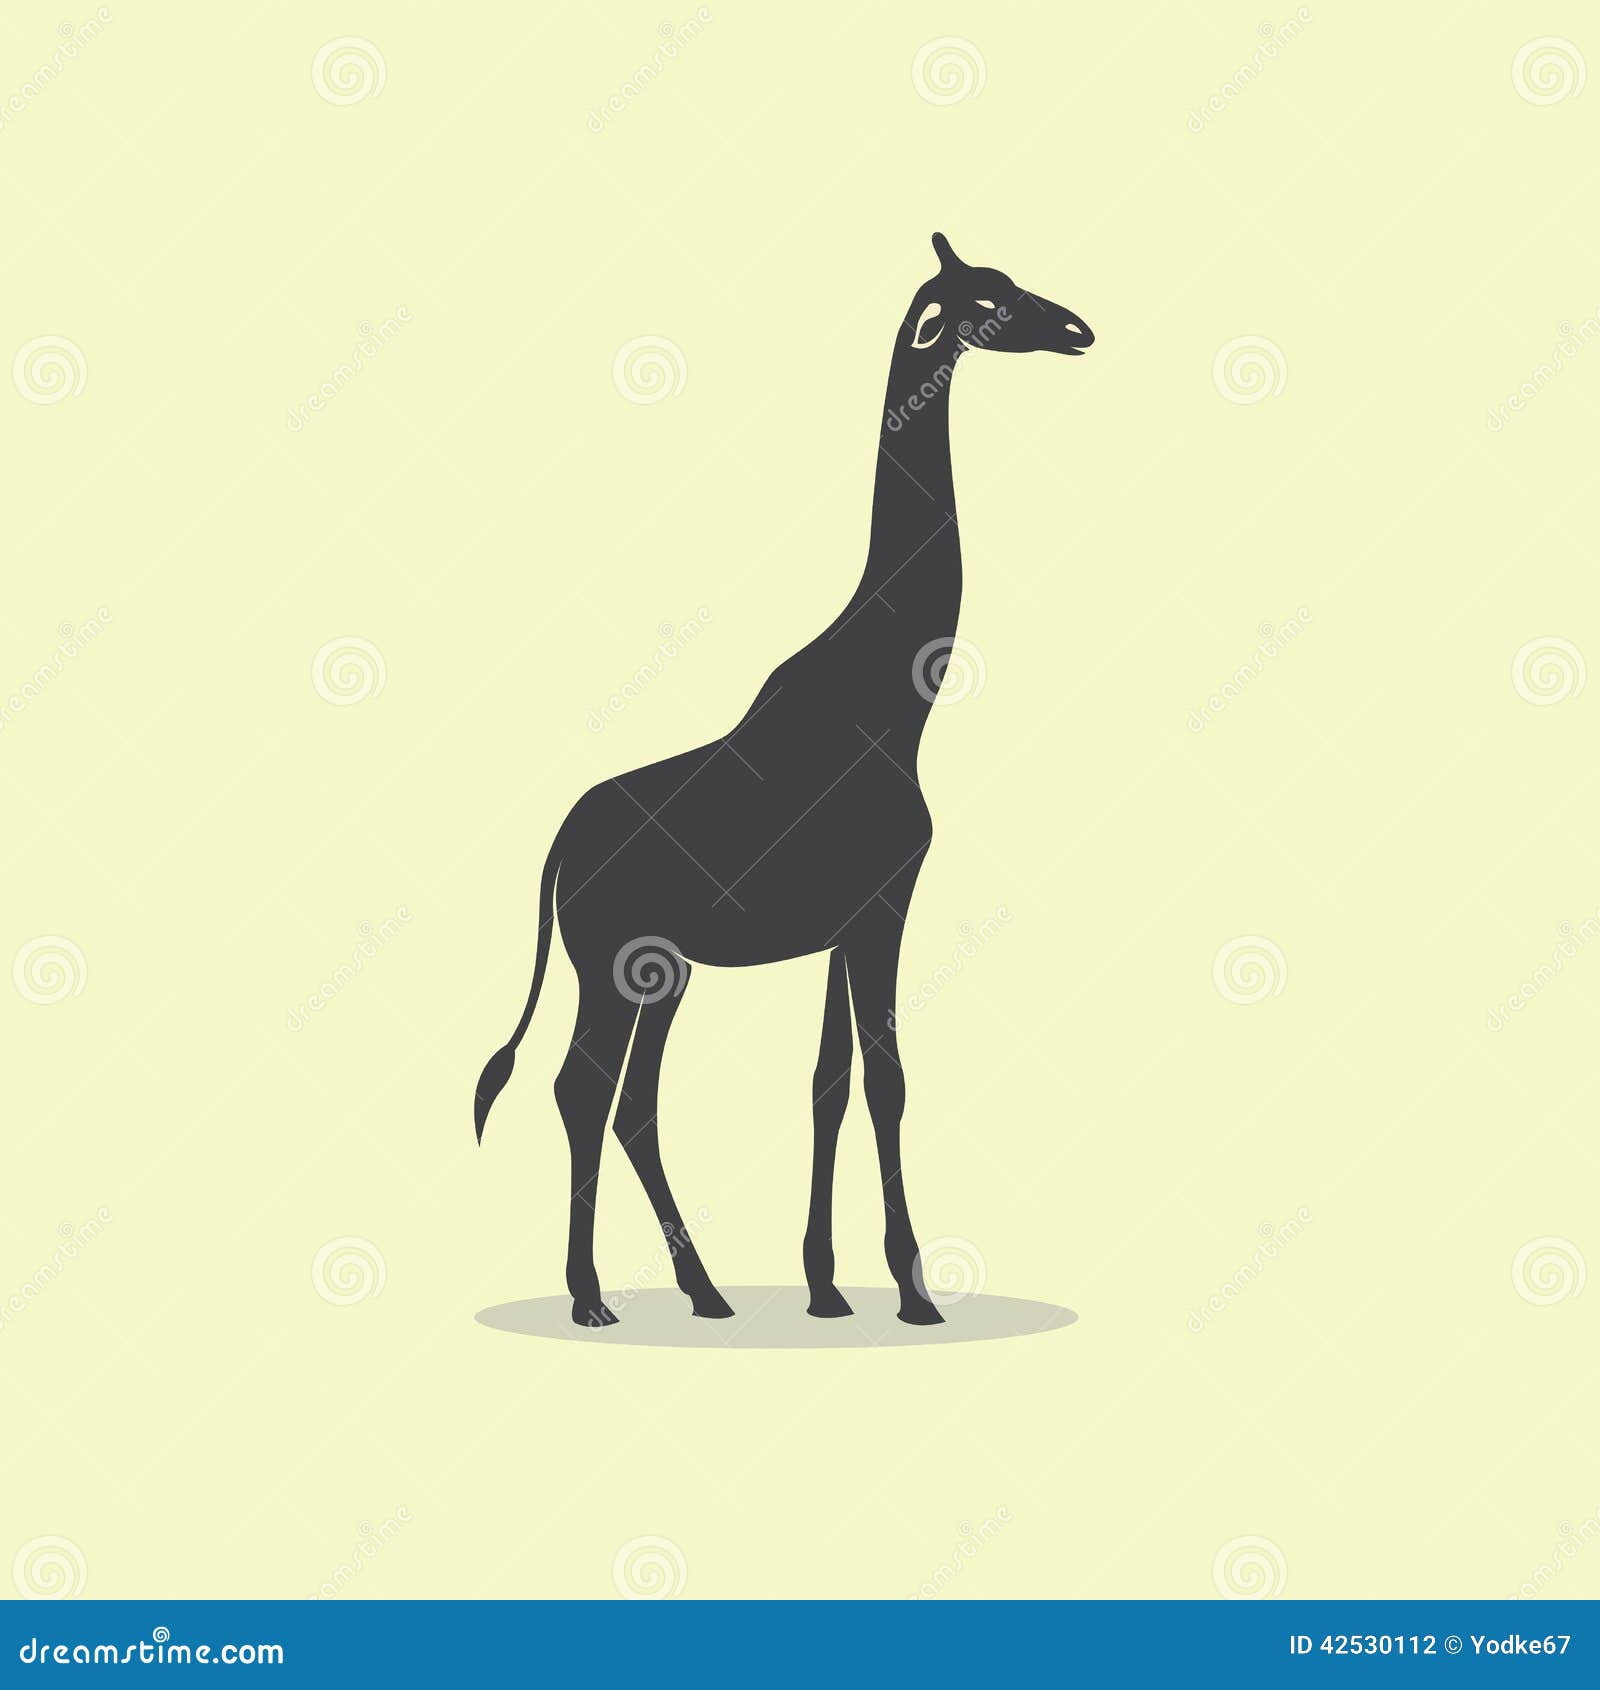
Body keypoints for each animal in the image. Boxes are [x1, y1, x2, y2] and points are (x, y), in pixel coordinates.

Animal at [475, 233, 1095, 1328]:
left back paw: (705, 1290)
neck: (896, 703)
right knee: (580, 1091)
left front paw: (826, 1284)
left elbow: (828, 1082)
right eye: (988, 301)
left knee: (631, 1104)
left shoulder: (841, 921)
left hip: (663, 968)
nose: (1077, 328)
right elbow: (886, 1079)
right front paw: (913, 1290)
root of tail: (556, 850)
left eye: (1015, 284)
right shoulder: (886, 901)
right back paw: (592, 1298)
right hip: (610, 959)